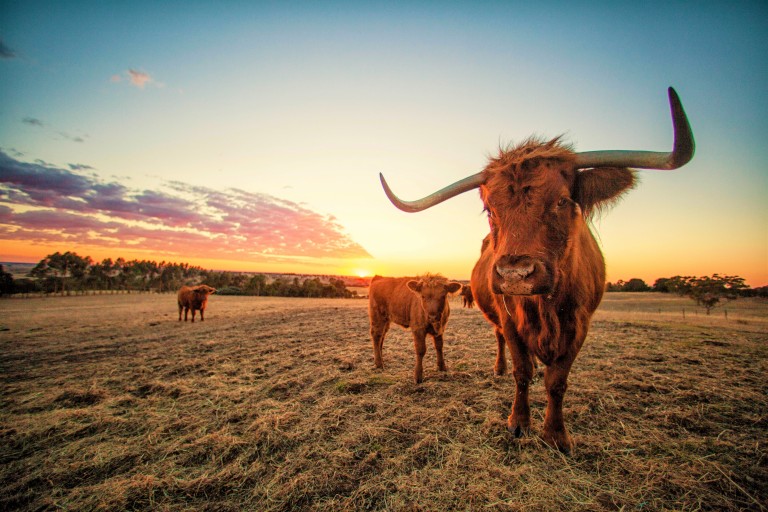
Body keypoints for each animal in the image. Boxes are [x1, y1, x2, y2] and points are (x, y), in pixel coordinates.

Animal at [379, 88, 694, 451]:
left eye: (561, 200)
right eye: (490, 209)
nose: (515, 275)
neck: (547, 307)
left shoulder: (579, 326)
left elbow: (557, 381)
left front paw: (556, 435)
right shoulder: (511, 321)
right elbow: (522, 371)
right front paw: (518, 422)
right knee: (501, 343)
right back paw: (498, 368)